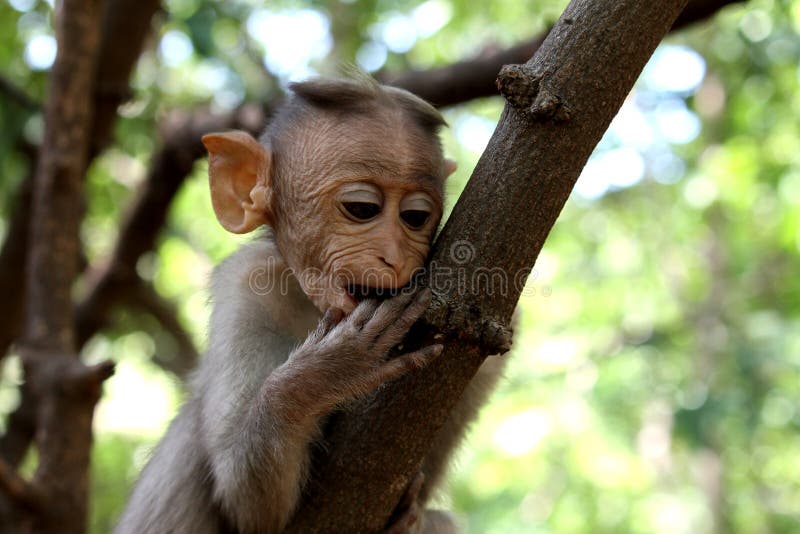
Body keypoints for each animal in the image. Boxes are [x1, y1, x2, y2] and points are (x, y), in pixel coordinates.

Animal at [116, 76, 506, 534]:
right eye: (362, 209)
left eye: (416, 216)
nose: (394, 256)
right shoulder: (246, 287)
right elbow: (251, 507)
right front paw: (327, 372)